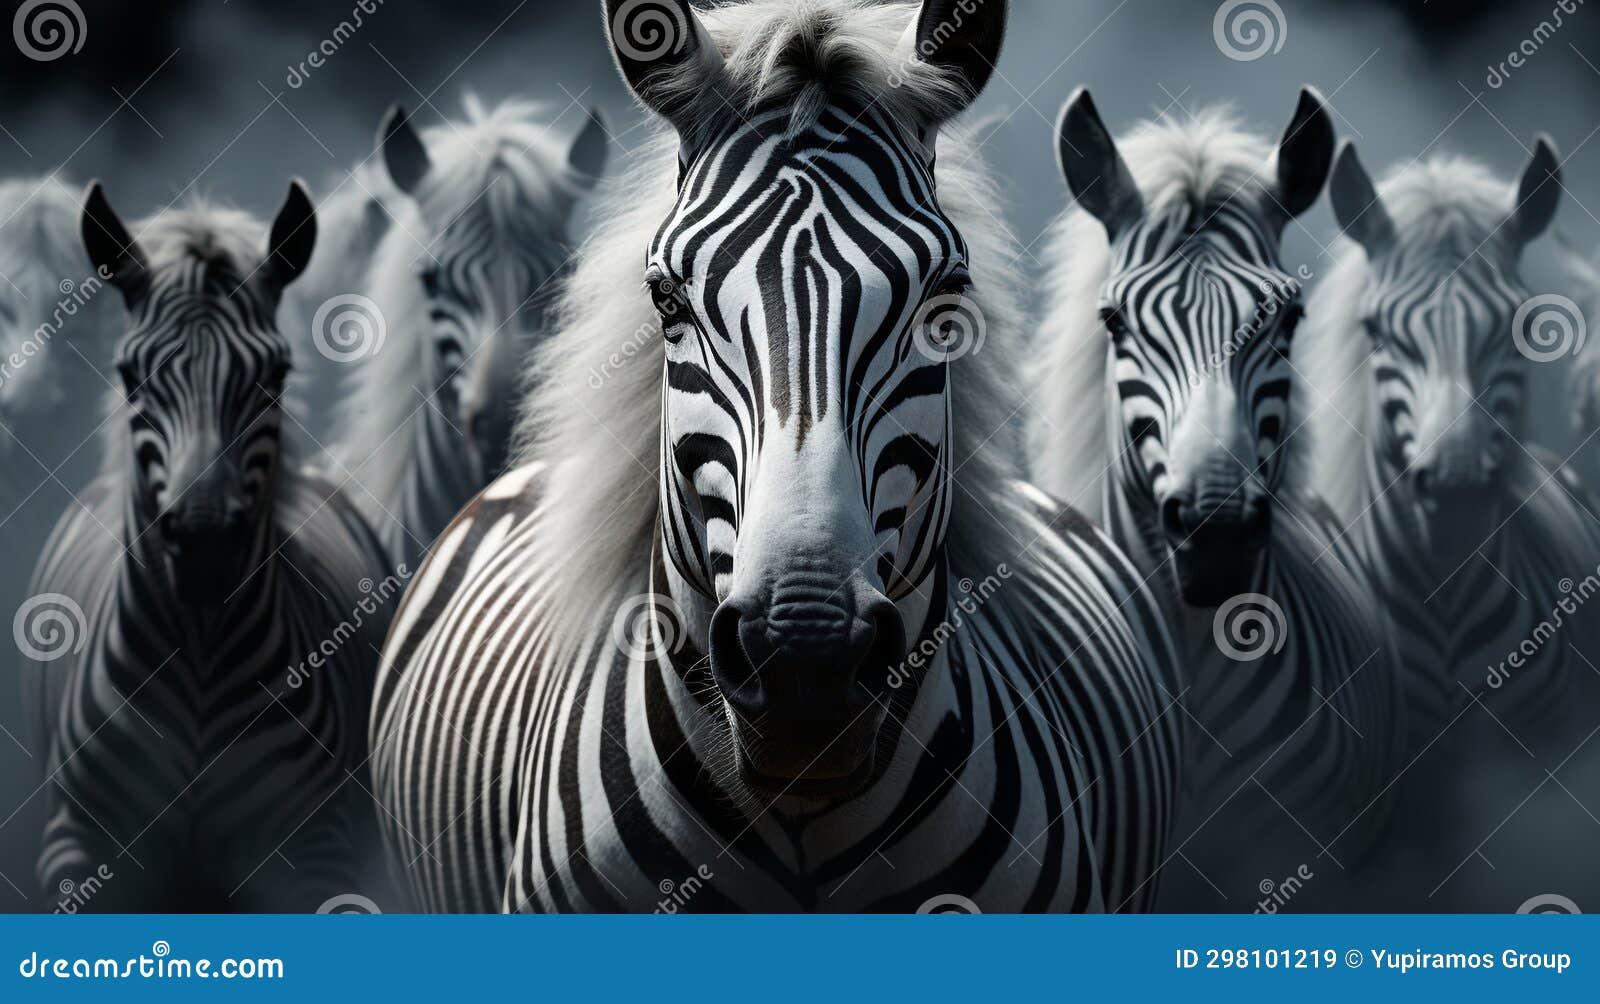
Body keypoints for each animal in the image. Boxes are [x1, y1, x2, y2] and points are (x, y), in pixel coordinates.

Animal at [17, 183, 395, 911]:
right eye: (129, 373)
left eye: (275, 372)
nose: (205, 545)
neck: (196, 649)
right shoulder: (78, 848)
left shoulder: (316, 853)